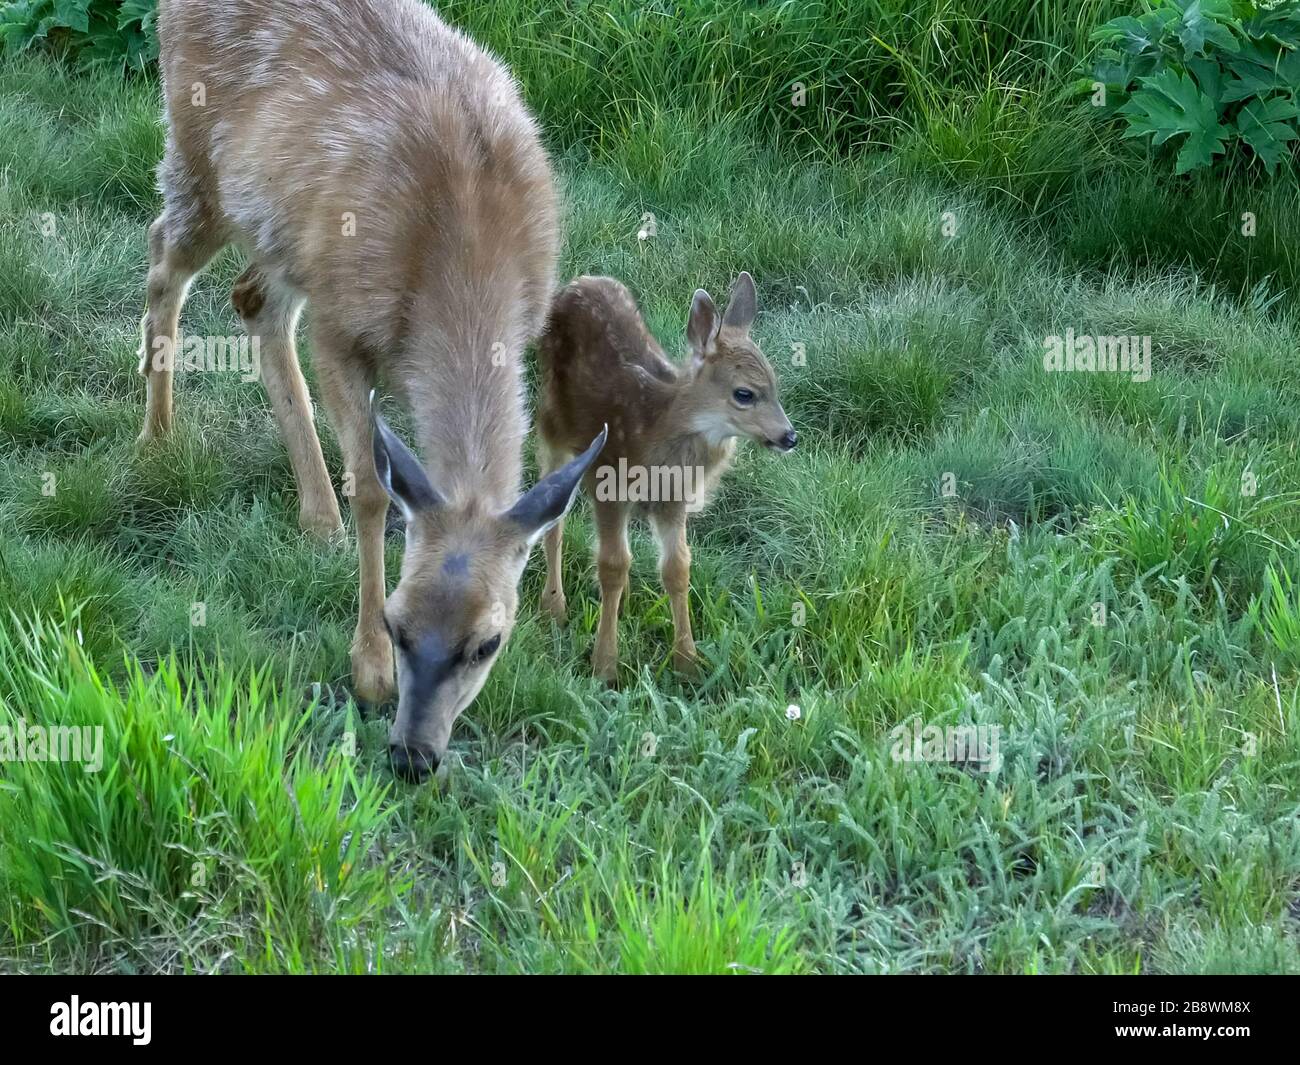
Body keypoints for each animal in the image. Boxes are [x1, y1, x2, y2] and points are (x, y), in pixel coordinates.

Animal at [139, 0, 605, 782]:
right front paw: (368, 672)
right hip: (197, 156)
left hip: (282, 233)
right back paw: (157, 437)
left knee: (250, 299)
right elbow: (373, 488)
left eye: (489, 641)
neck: (461, 257)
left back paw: (314, 516)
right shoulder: (341, 322)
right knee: (161, 258)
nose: (414, 755)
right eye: (398, 621)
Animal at [535, 273, 796, 683]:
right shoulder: (608, 481)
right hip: (551, 423)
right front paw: (604, 666)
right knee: (553, 519)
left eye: (775, 384)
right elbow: (613, 565)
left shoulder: (674, 500)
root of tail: (579, 281)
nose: (789, 436)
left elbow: (677, 568)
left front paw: (687, 663)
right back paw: (554, 608)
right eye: (745, 394)